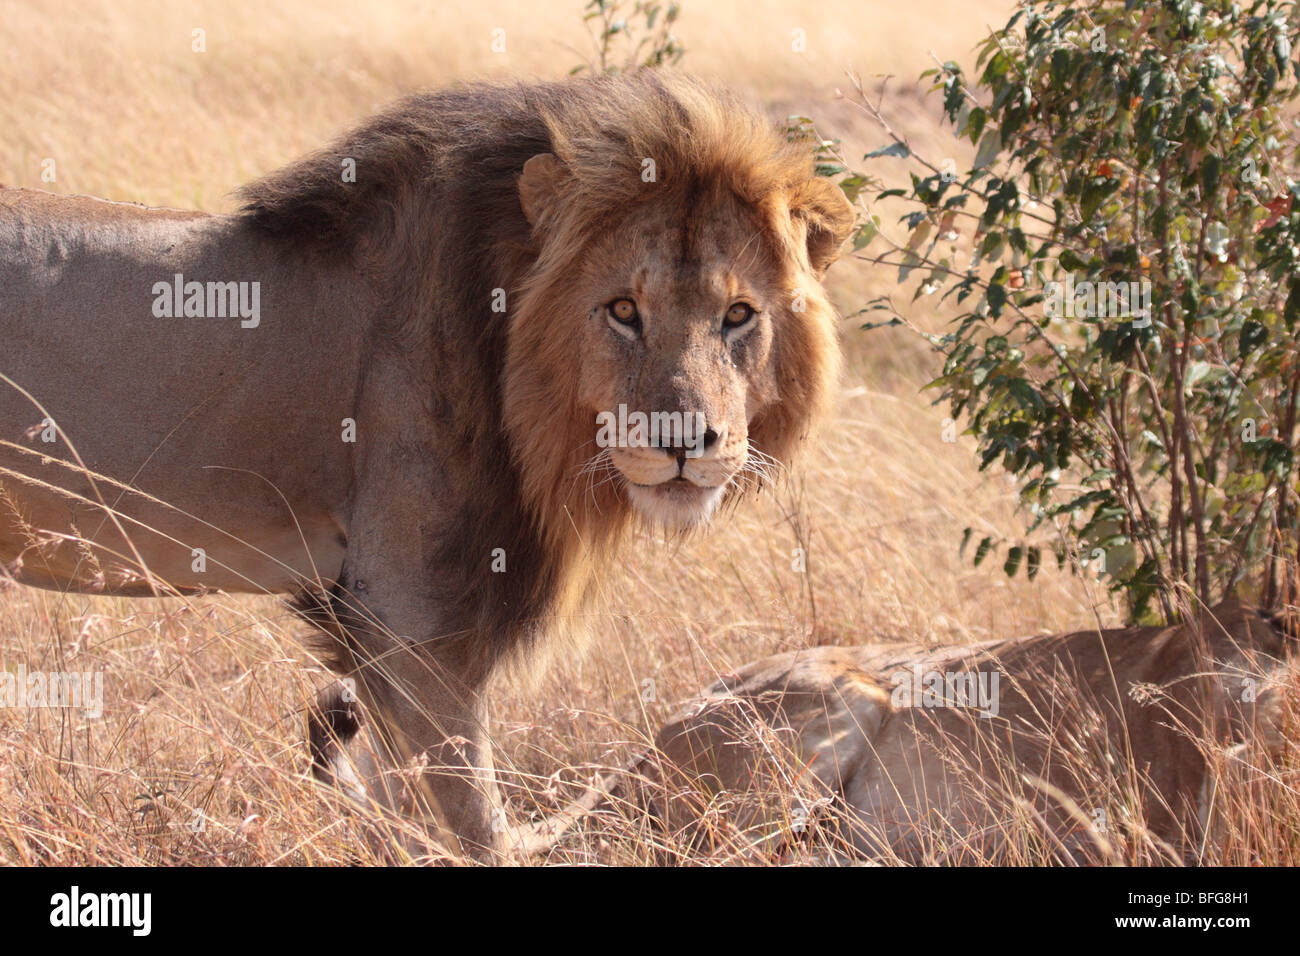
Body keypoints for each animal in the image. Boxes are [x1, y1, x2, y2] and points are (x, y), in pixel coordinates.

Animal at [0, 72, 854, 860]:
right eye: (622, 310)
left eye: (738, 315)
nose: (681, 438)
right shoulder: (407, 609)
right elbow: (470, 826)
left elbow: (403, 813)